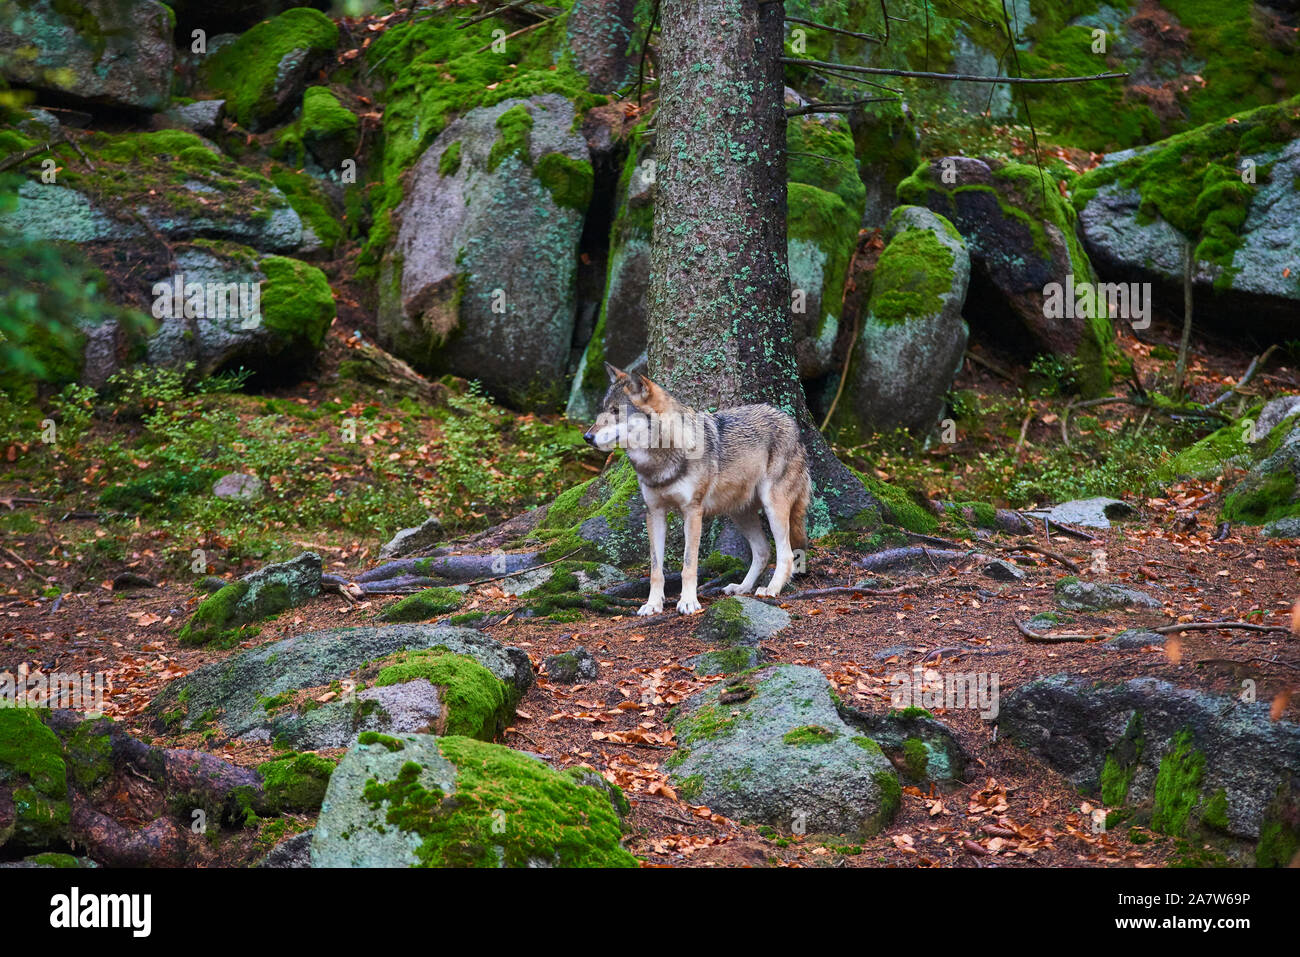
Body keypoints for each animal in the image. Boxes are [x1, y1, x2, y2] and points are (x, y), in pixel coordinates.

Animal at [583, 363, 811, 616]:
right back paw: (742, 587)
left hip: (772, 507)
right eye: (603, 410)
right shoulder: (654, 513)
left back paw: (771, 589)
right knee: (763, 551)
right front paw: (653, 604)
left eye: (616, 411)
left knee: (786, 554)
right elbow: (655, 570)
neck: (660, 460)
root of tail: (791, 422)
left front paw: (688, 602)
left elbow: (688, 564)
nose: (587, 437)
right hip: (739, 513)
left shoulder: (692, 512)